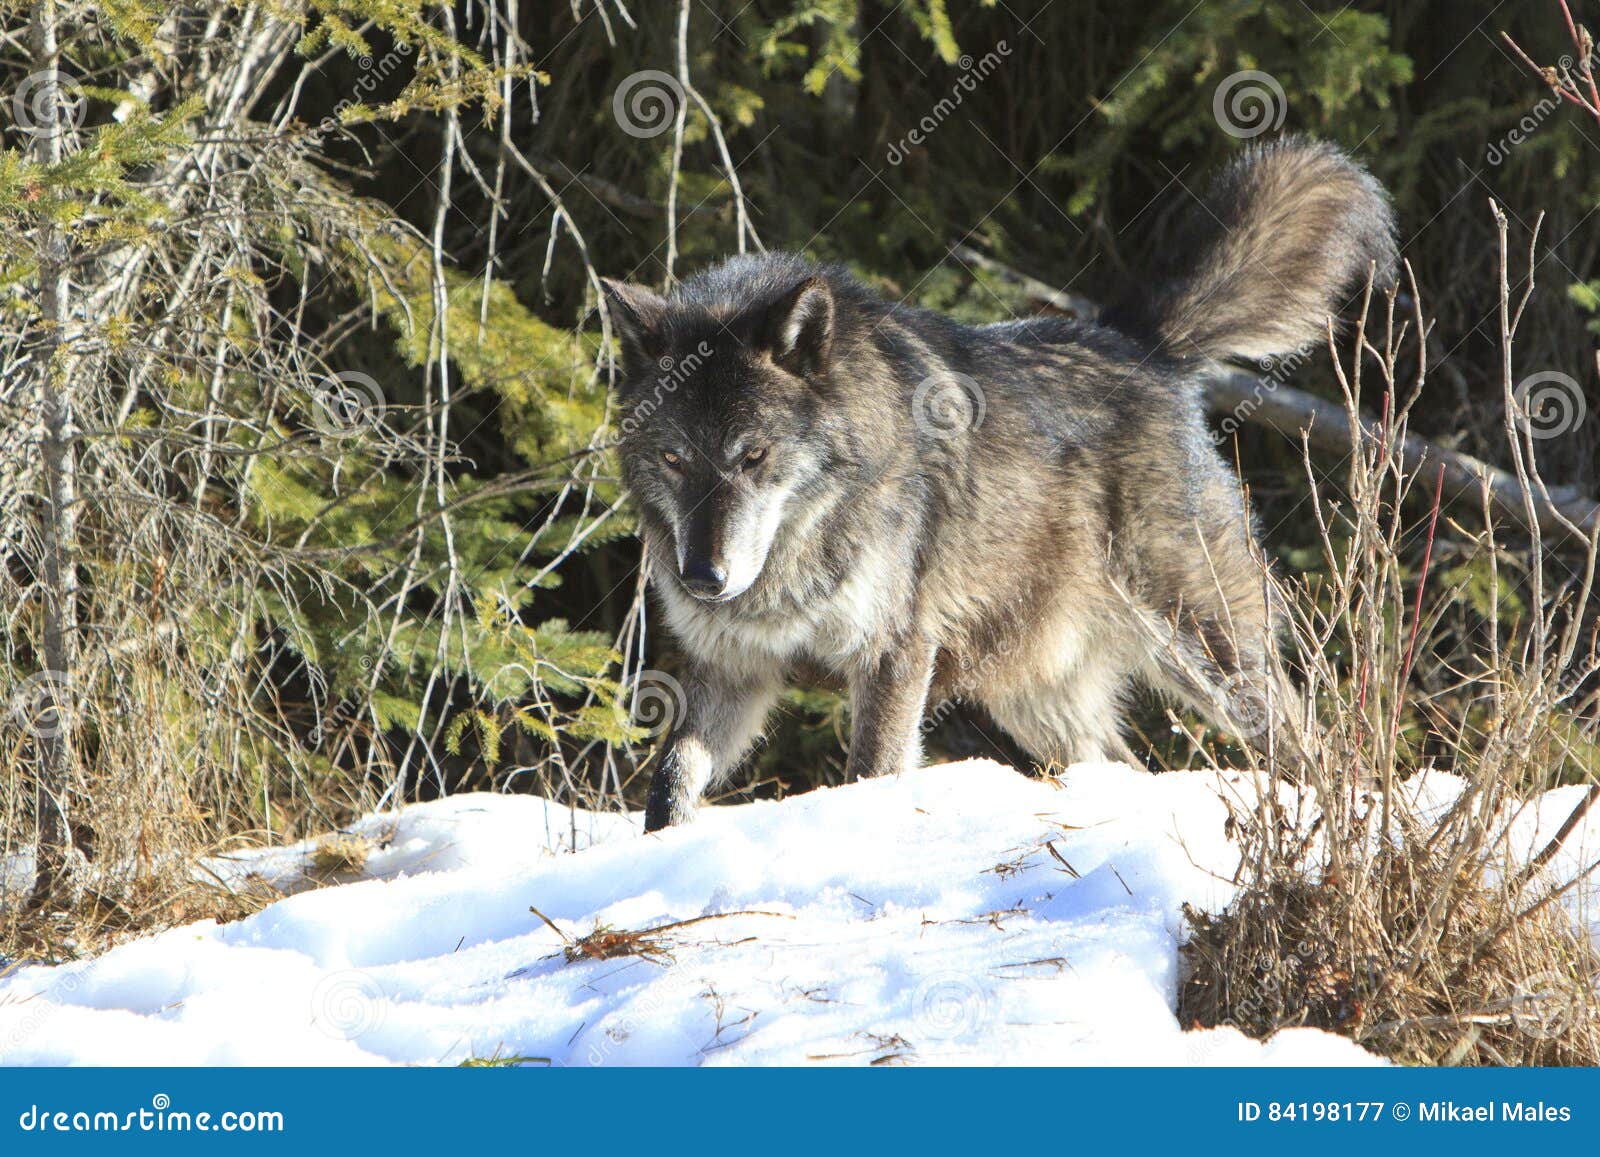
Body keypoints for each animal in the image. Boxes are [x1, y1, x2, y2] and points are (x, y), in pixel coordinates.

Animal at [602, 137, 1396, 832]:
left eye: (753, 456)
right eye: (673, 459)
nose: (702, 577)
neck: (796, 554)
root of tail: (1140, 345)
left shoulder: (894, 655)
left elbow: (869, 773)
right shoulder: (729, 669)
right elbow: (670, 781)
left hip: (1207, 652)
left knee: (1312, 746)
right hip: (1036, 695)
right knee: (1125, 764)